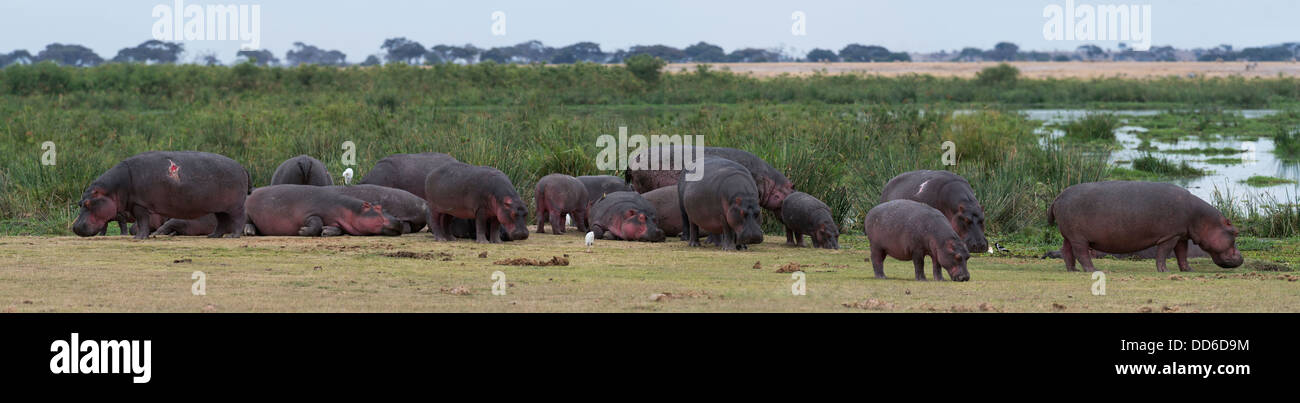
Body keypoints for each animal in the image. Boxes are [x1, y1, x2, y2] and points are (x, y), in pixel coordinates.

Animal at [72, 151, 250, 239]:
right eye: (80, 203)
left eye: (88, 203)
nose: (75, 227)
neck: (113, 189)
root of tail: (242, 167)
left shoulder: (140, 205)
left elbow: (142, 221)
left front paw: (139, 238)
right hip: (220, 207)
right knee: (222, 221)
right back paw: (213, 236)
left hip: (235, 206)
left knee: (238, 219)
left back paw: (233, 236)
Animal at [245, 185, 401, 236]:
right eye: (378, 209)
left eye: (384, 207)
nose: (399, 219)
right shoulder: (310, 213)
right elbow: (316, 222)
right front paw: (302, 231)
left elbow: (337, 229)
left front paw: (326, 231)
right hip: (247, 212)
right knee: (247, 222)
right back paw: (249, 231)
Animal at [1049, 181, 1244, 272]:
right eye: (1235, 232)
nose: (1241, 258)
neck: (1200, 217)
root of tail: (1058, 196)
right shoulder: (1170, 236)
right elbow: (1163, 253)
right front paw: (1164, 270)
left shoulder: (1180, 235)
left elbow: (1182, 254)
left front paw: (1188, 270)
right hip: (1078, 237)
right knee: (1081, 253)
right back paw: (1093, 270)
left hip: (1068, 234)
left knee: (1066, 250)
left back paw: (1072, 270)